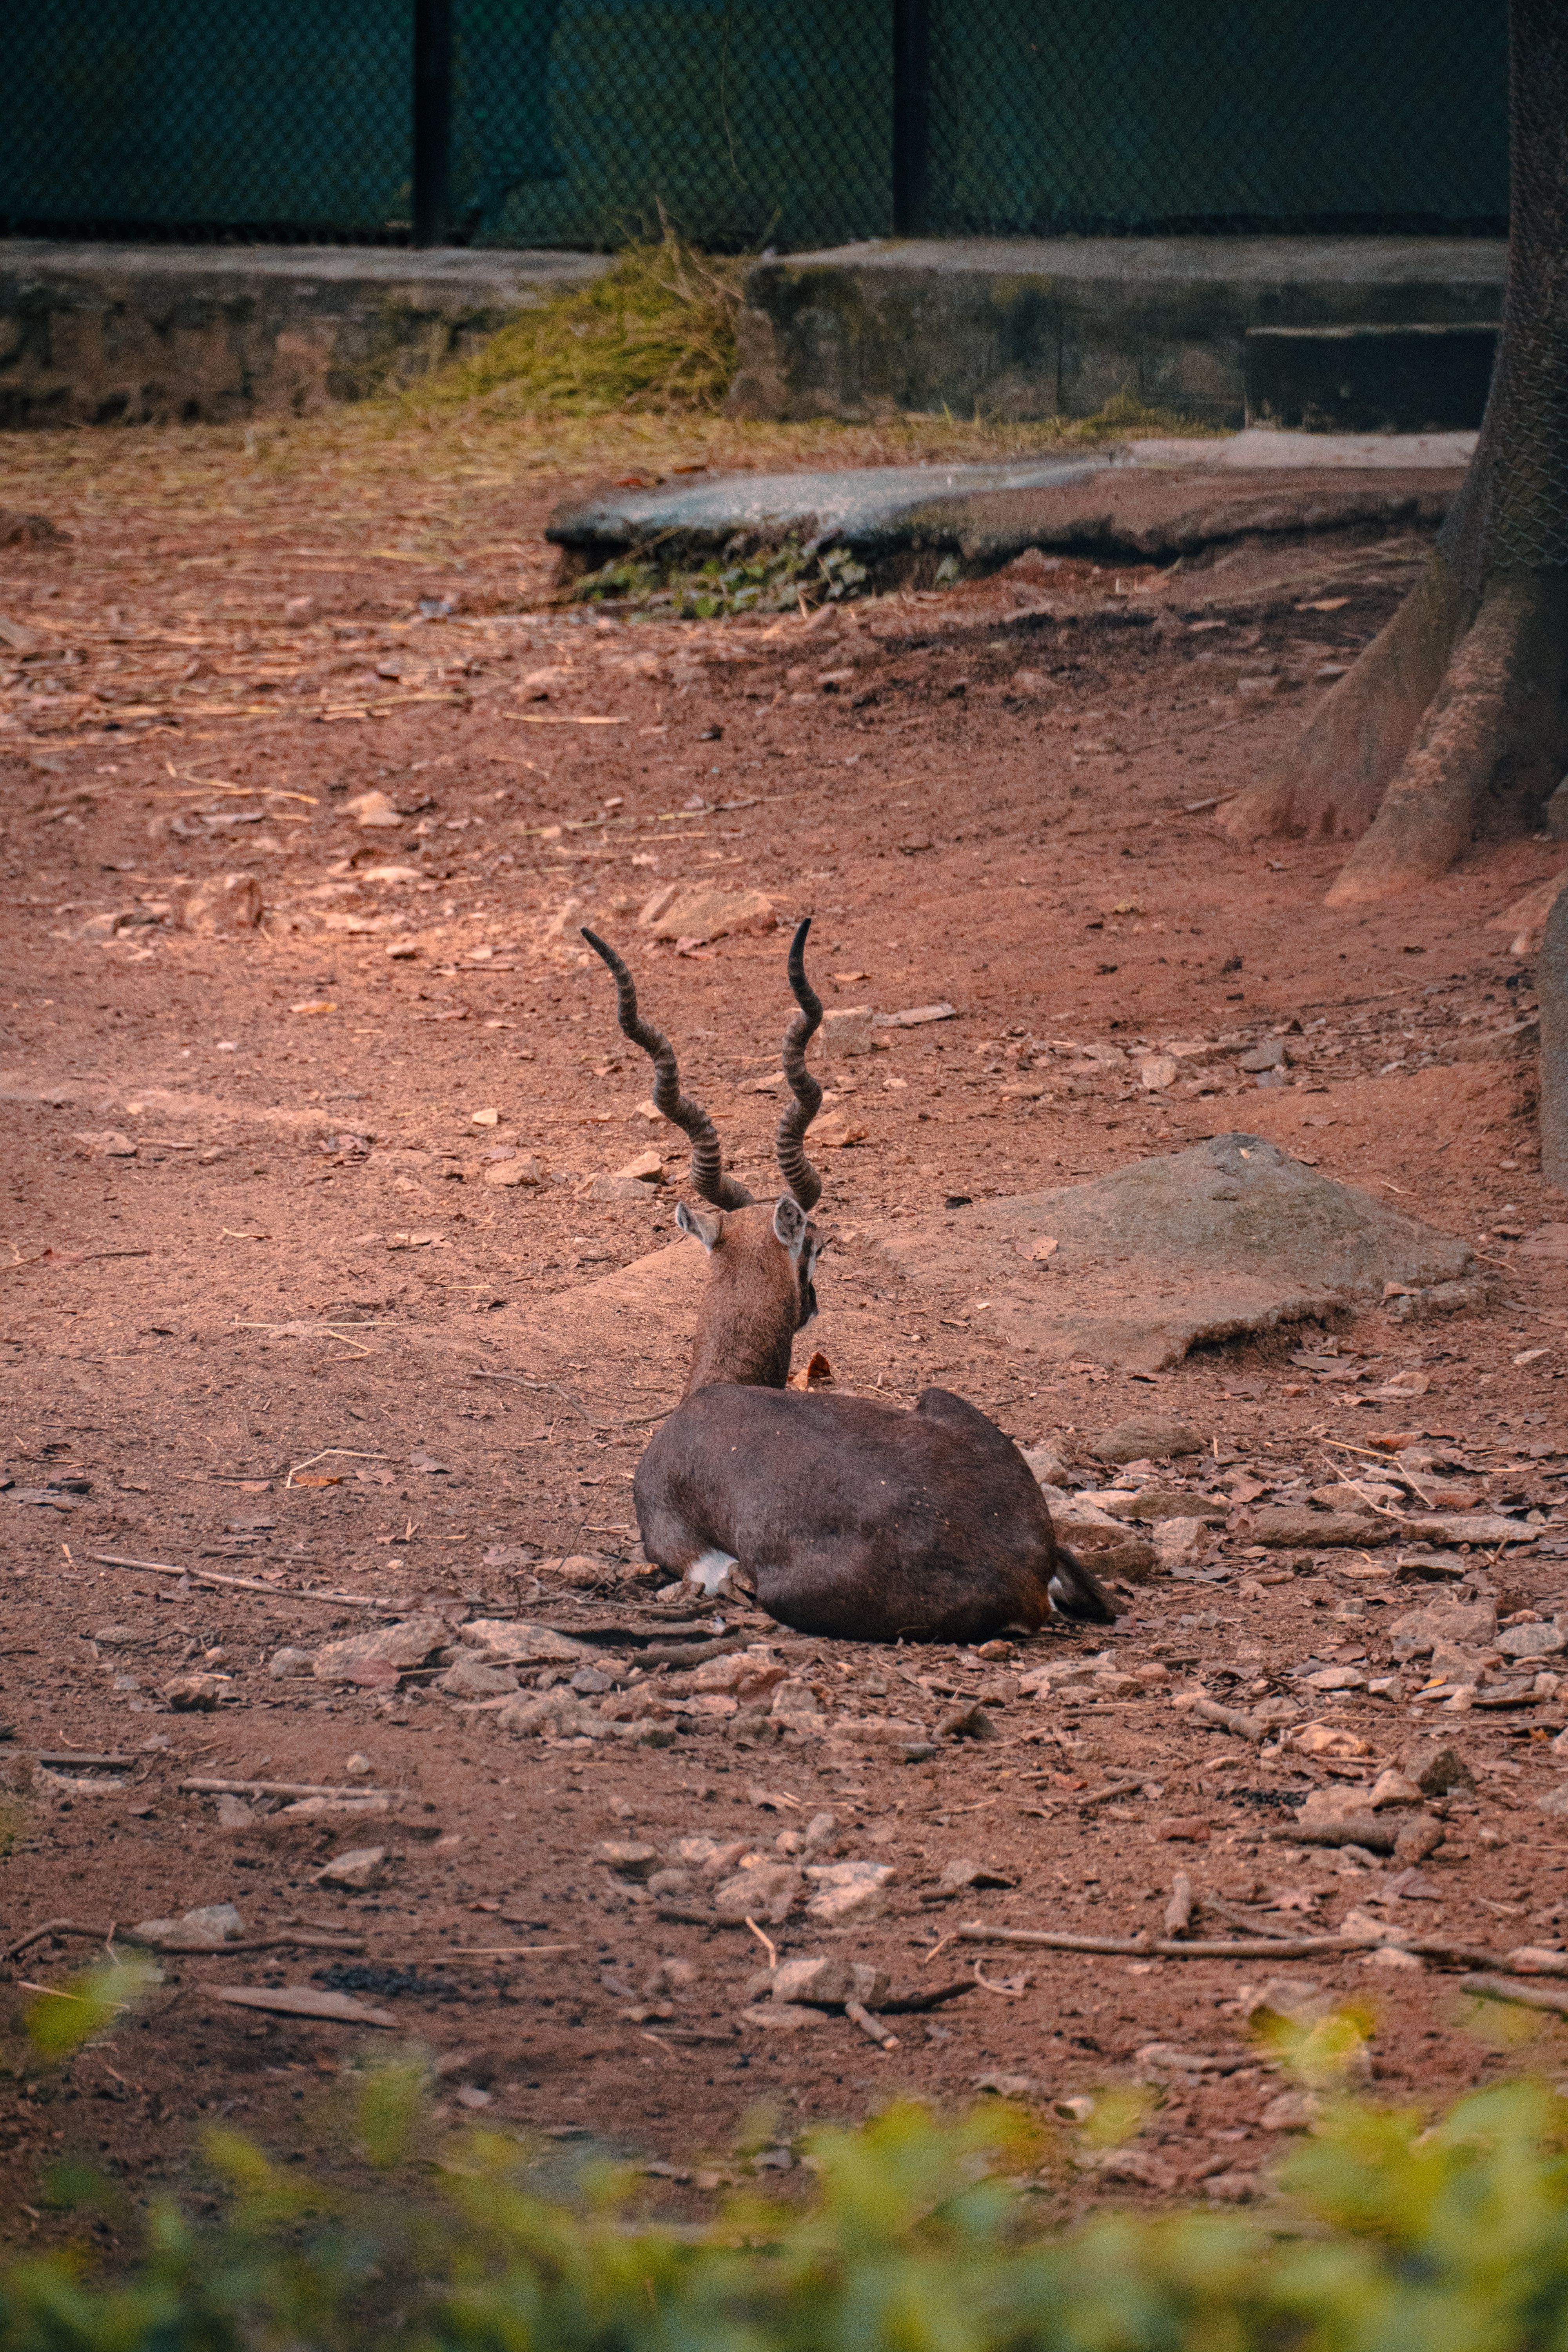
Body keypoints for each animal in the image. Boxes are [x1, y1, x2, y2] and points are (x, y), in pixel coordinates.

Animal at [581, 919, 1115, 1644]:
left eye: (820, 1243)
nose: (812, 1305)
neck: (713, 1388)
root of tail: (1025, 1576)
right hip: (946, 1404)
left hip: (790, 1592)